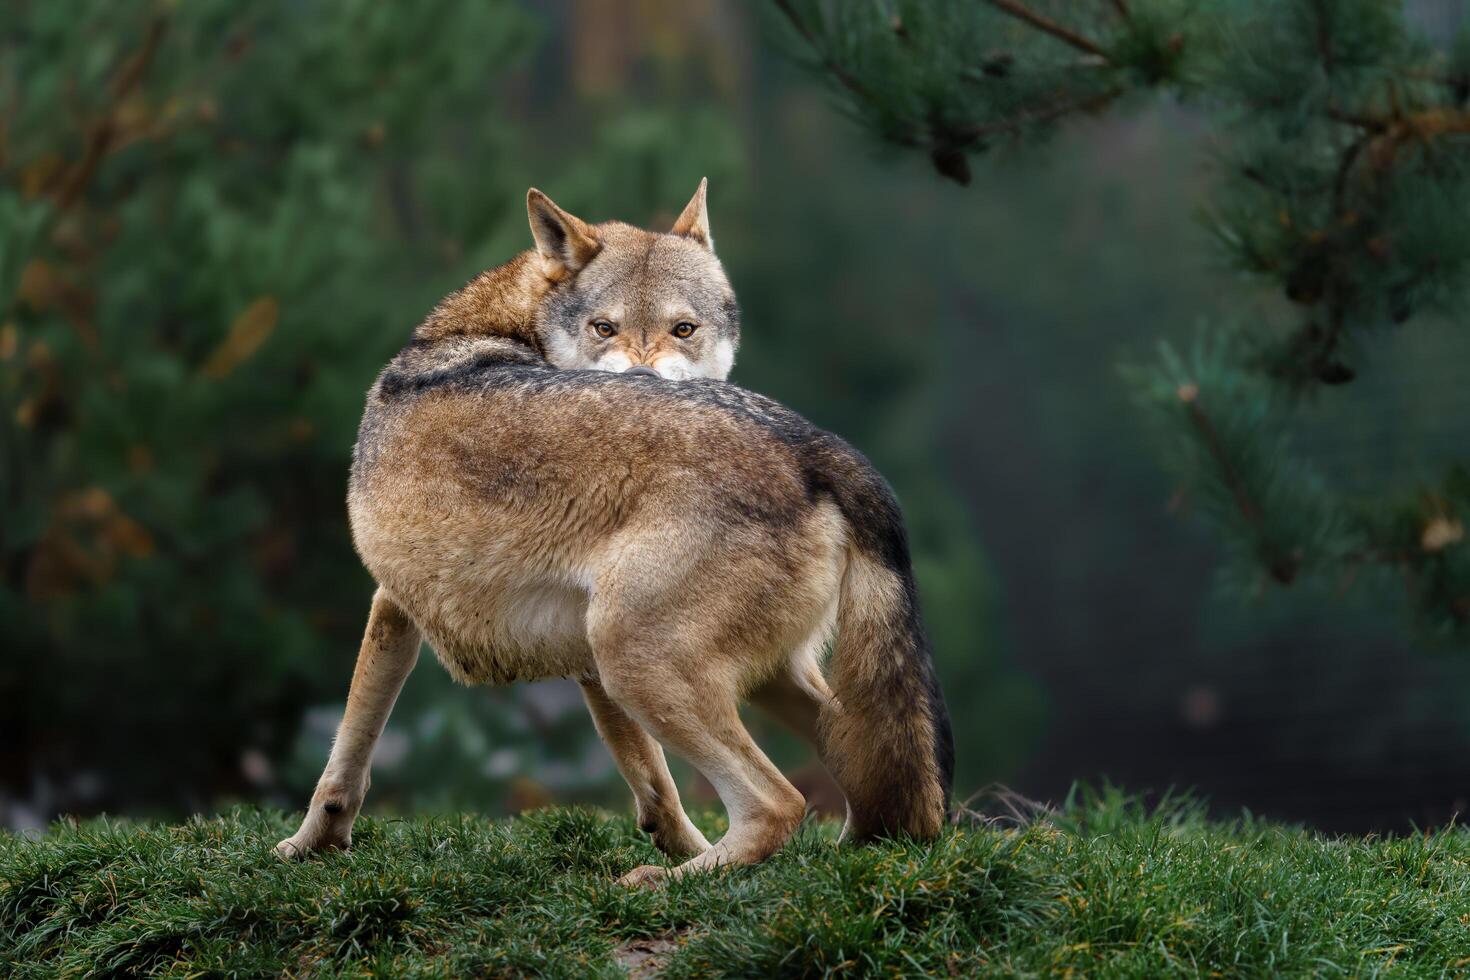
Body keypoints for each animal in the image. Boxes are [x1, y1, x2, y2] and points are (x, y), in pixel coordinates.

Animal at [275, 182, 954, 885]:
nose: (641, 378)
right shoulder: (558, 653)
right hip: (745, 678)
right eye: (604, 328)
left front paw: (306, 844)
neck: (491, 327)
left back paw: (666, 883)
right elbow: (655, 785)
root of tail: (815, 446)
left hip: (633, 654)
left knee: (778, 804)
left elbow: (349, 744)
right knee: (887, 783)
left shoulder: (397, 603)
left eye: (684, 329)